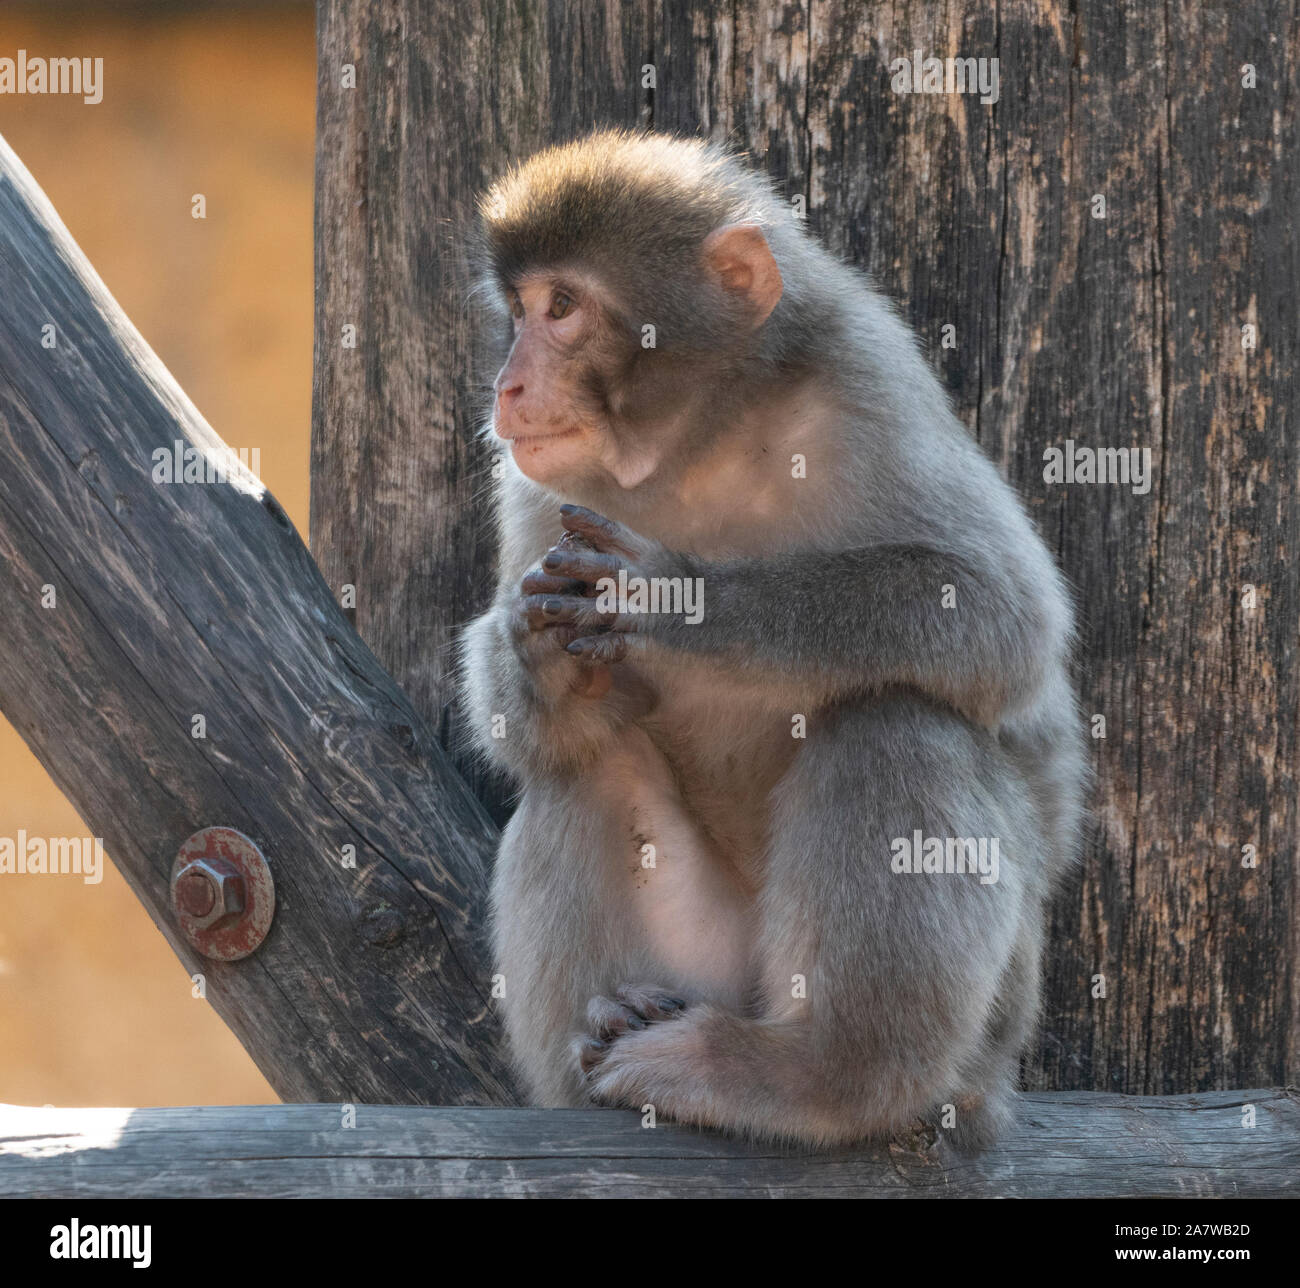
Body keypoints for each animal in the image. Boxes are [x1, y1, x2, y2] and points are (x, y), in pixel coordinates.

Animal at [458, 130, 1085, 1150]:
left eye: (561, 308)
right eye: (517, 312)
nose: (509, 386)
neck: (698, 443)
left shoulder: (865, 384)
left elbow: (1003, 619)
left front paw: (675, 598)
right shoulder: (533, 481)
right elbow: (541, 730)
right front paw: (534, 653)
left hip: (991, 1032)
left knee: (896, 722)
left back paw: (812, 1075)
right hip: (710, 965)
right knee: (588, 766)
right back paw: (613, 1030)